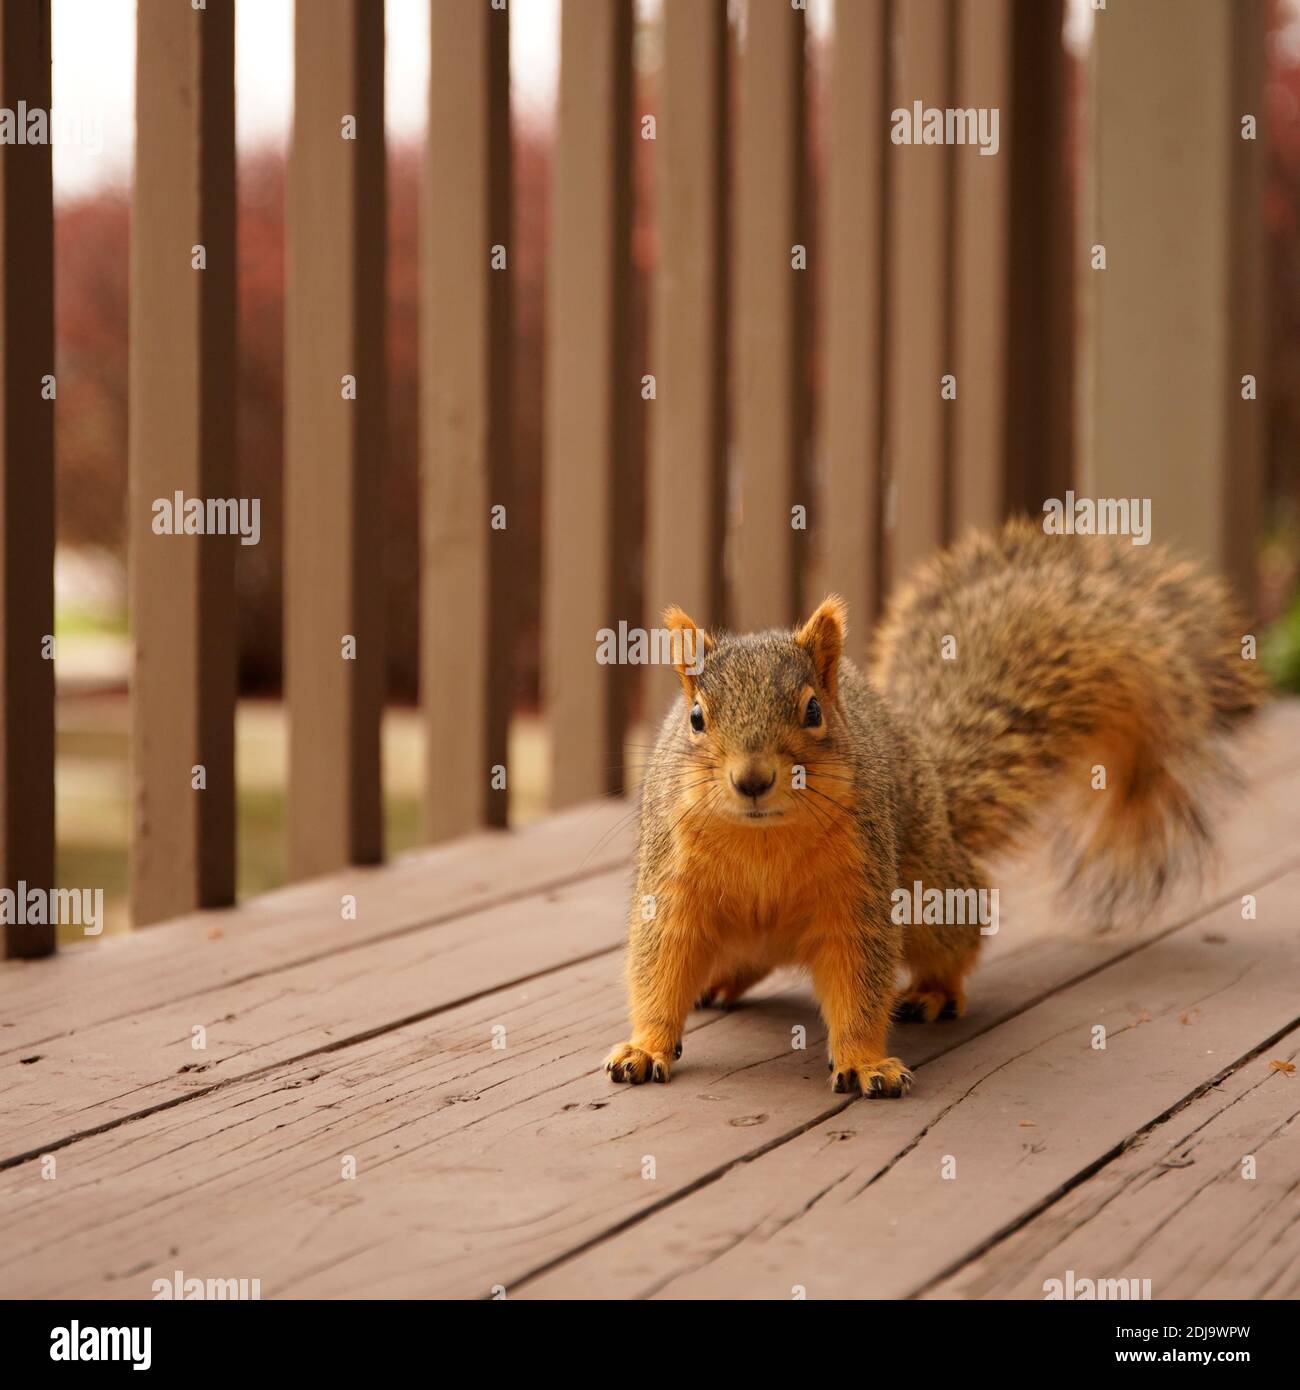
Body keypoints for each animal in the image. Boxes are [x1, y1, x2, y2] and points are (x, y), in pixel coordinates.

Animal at [605, 518, 1264, 1097]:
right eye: (696, 718)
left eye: (813, 710)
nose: (752, 780)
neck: (761, 836)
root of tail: (938, 796)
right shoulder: (672, 886)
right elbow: (658, 967)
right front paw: (646, 1047)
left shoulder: (860, 888)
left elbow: (859, 979)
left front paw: (865, 1062)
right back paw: (718, 983)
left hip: (930, 893)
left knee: (958, 934)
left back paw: (936, 992)